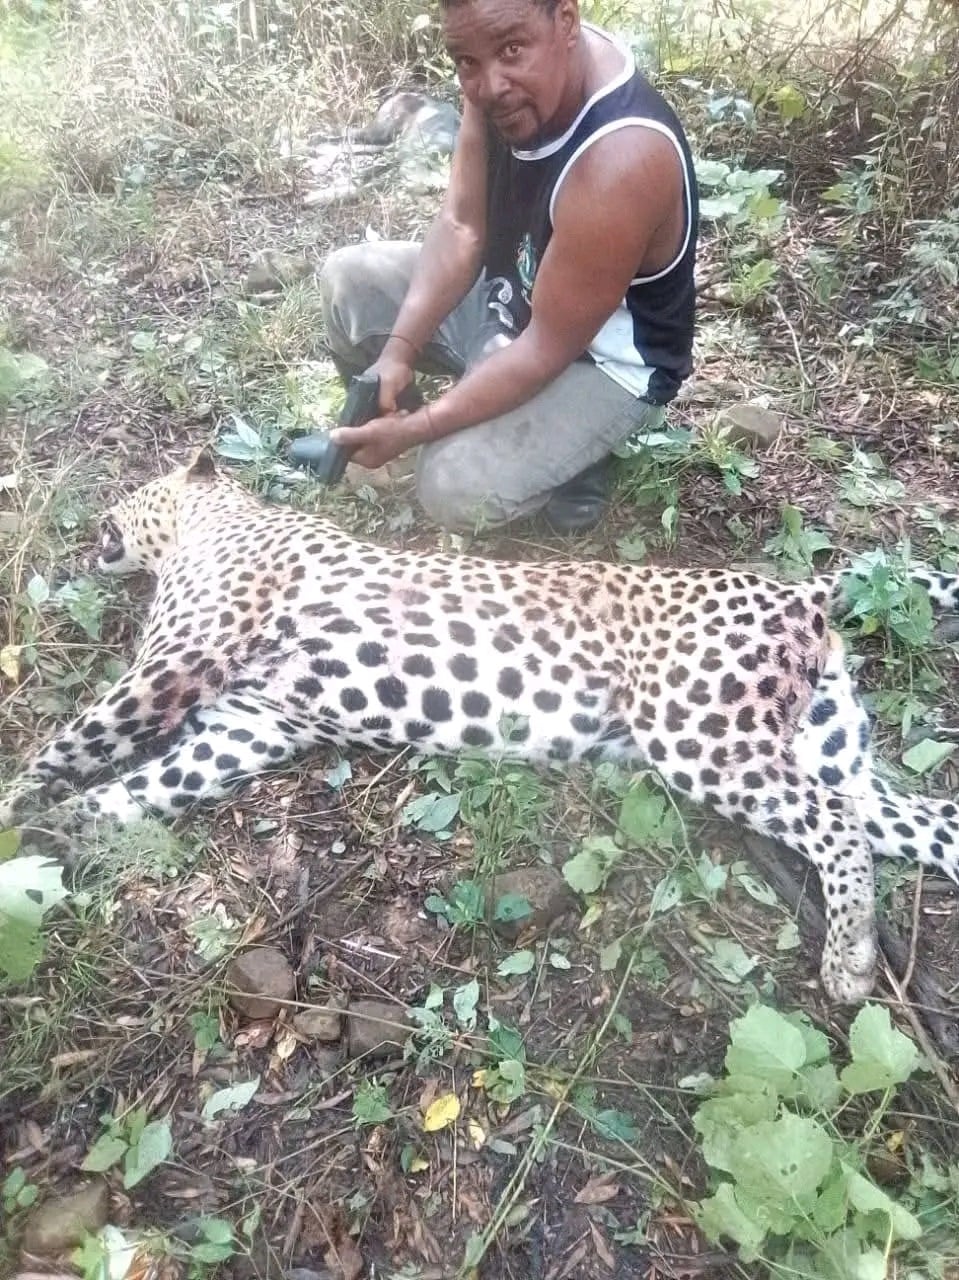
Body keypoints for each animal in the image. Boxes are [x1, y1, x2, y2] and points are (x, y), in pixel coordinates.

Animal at [3, 449, 958, 1005]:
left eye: (131, 492)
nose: (96, 526)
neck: (215, 522)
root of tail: (799, 588)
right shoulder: (249, 724)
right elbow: (134, 788)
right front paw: (50, 838)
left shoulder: (175, 664)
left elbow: (69, 745)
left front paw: (17, 813)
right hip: (818, 749)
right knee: (923, 821)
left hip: (702, 737)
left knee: (834, 830)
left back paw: (848, 963)